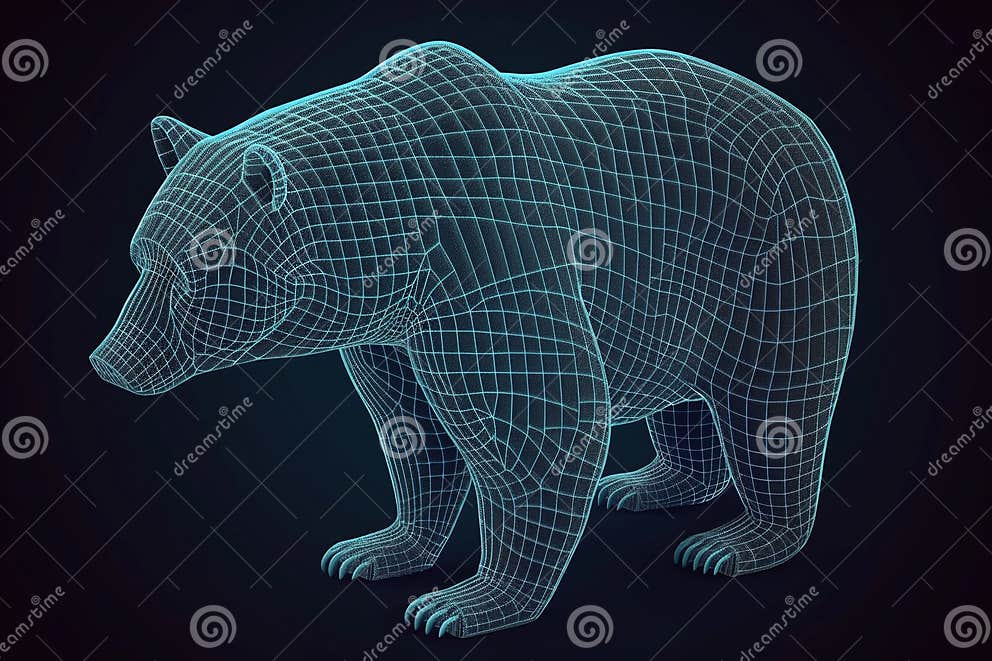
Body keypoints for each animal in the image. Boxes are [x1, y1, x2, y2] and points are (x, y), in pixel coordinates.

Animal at [90, 41, 858, 638]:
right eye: (138, 257)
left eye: (188, 272)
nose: (110, 360)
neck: (392, 232)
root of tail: (798, 118)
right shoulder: (391, 325)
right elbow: (412, 424)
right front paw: (373, 548)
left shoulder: (489, 260)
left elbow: (540, 419)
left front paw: (462, 601)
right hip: (679, 296)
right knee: (686, 392)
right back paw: (647, 481)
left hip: (782, 262)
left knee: (775, 408)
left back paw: (734, 540)